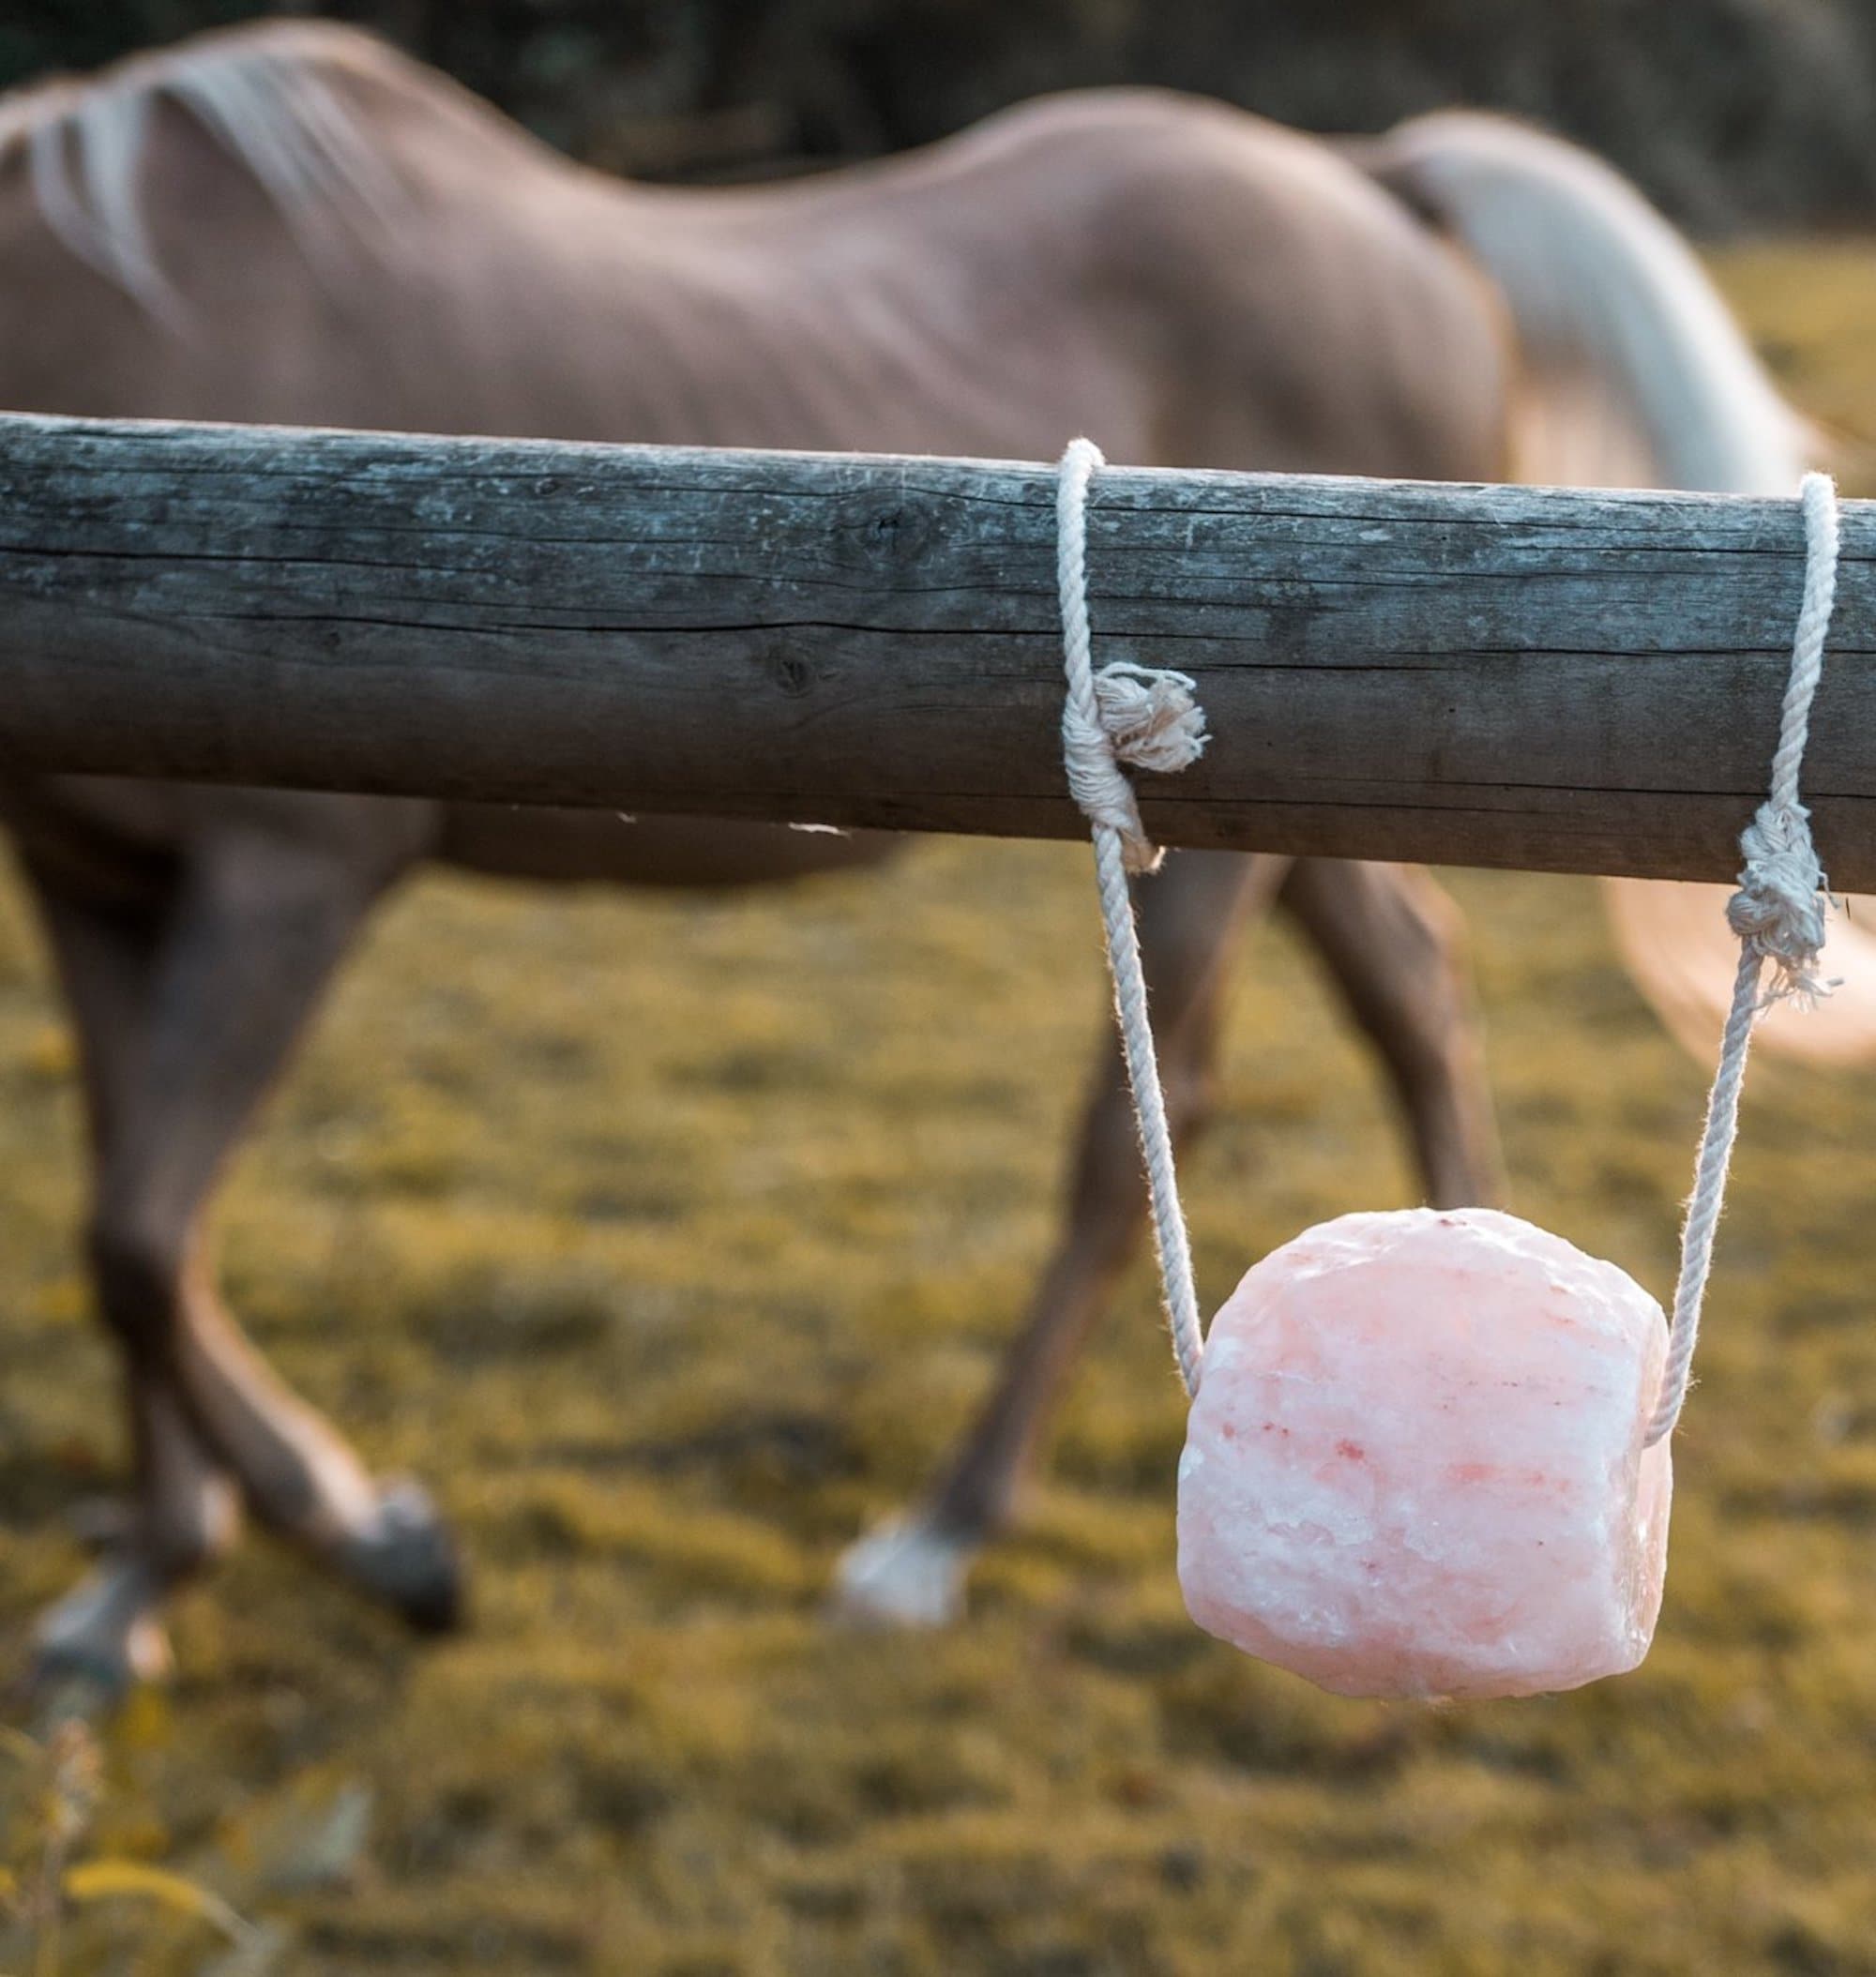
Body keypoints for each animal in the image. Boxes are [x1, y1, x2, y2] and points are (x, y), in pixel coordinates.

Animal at [0, 19, 1822, 1694]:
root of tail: (1369, 178)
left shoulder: (294, 865)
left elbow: (142, 1239)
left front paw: (368, 1531)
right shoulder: (93, 883)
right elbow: (122, 1214)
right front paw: (146, 1579)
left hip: (1235, 834)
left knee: (1142, 1125)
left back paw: (942, 1528)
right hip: (1331, 815)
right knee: (1417, 992)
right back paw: (1472, 1260)